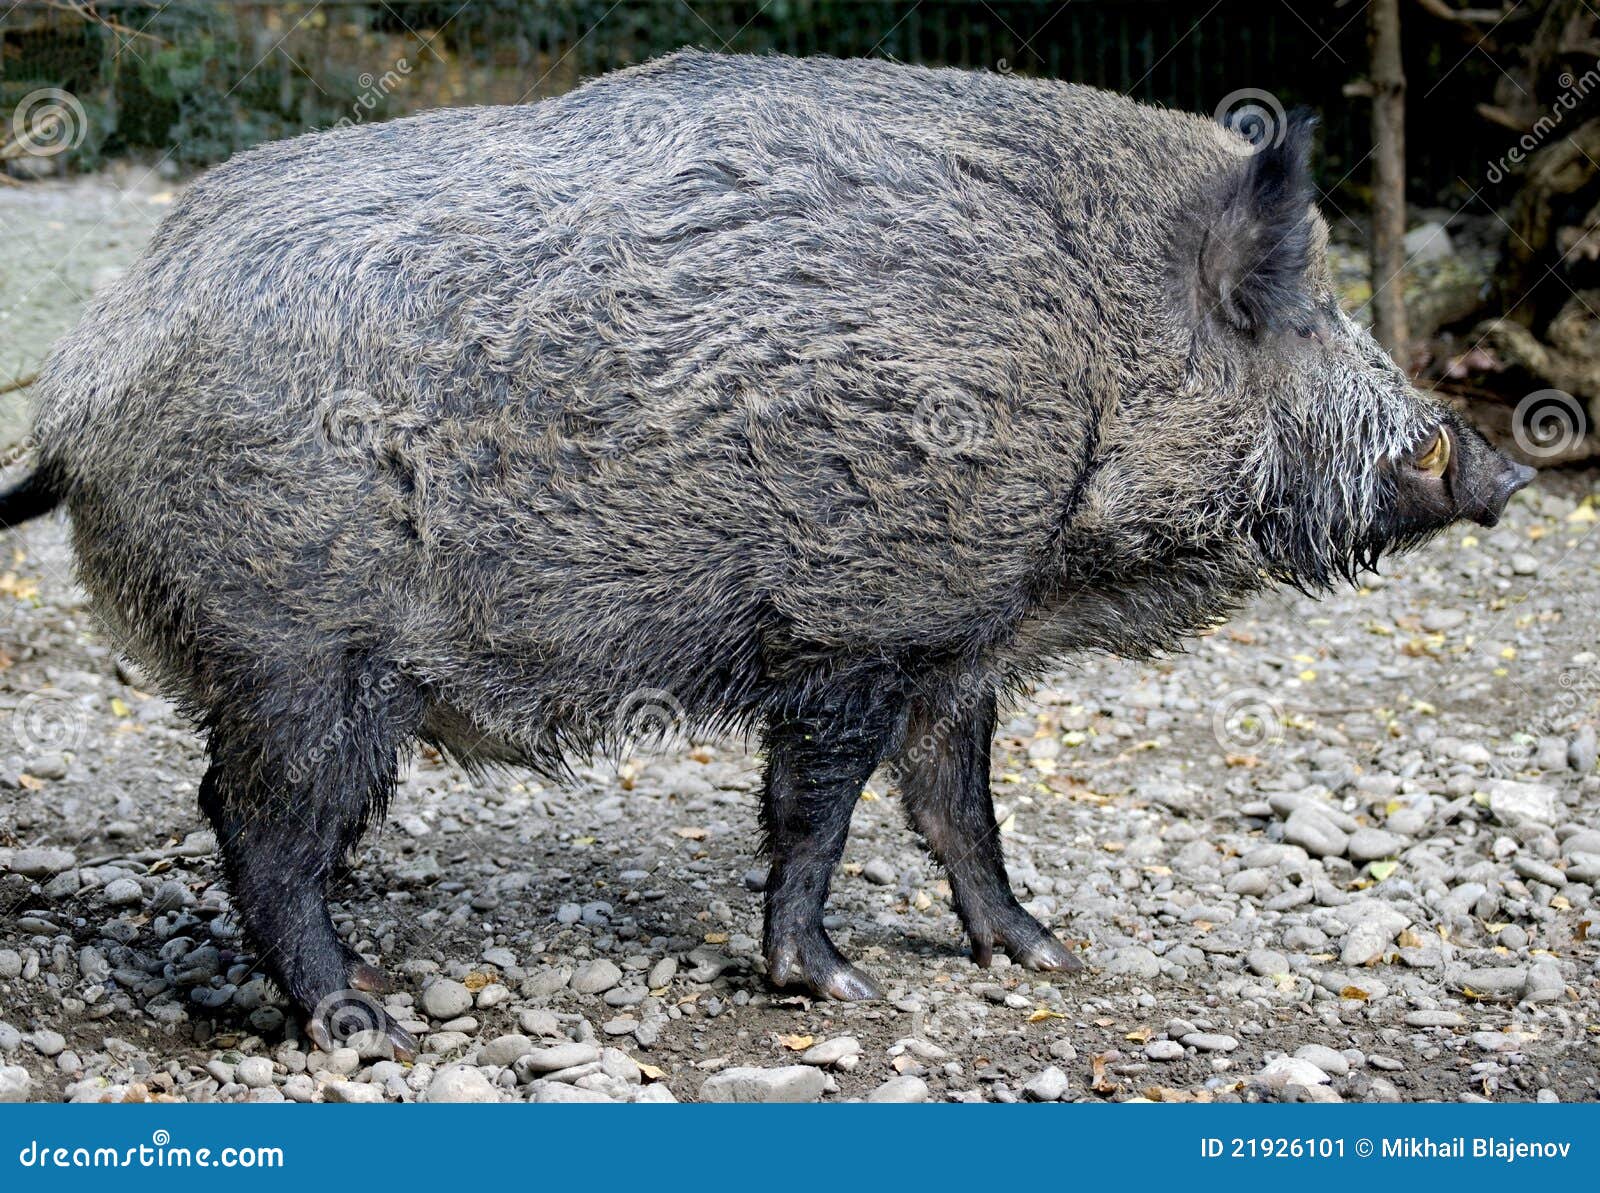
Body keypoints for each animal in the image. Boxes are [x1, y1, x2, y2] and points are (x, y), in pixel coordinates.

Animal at [0, 51, 1532, 1053]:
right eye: (1290, 311)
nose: (1503, 463)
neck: (1088, 354)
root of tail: (83, 382)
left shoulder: (957, 636)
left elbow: (958, 804)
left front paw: (1043, 954)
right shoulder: (855, 620)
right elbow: (819, 810)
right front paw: (837, 987)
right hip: (301, 655)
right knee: (254, 824)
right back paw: (359, 1020)